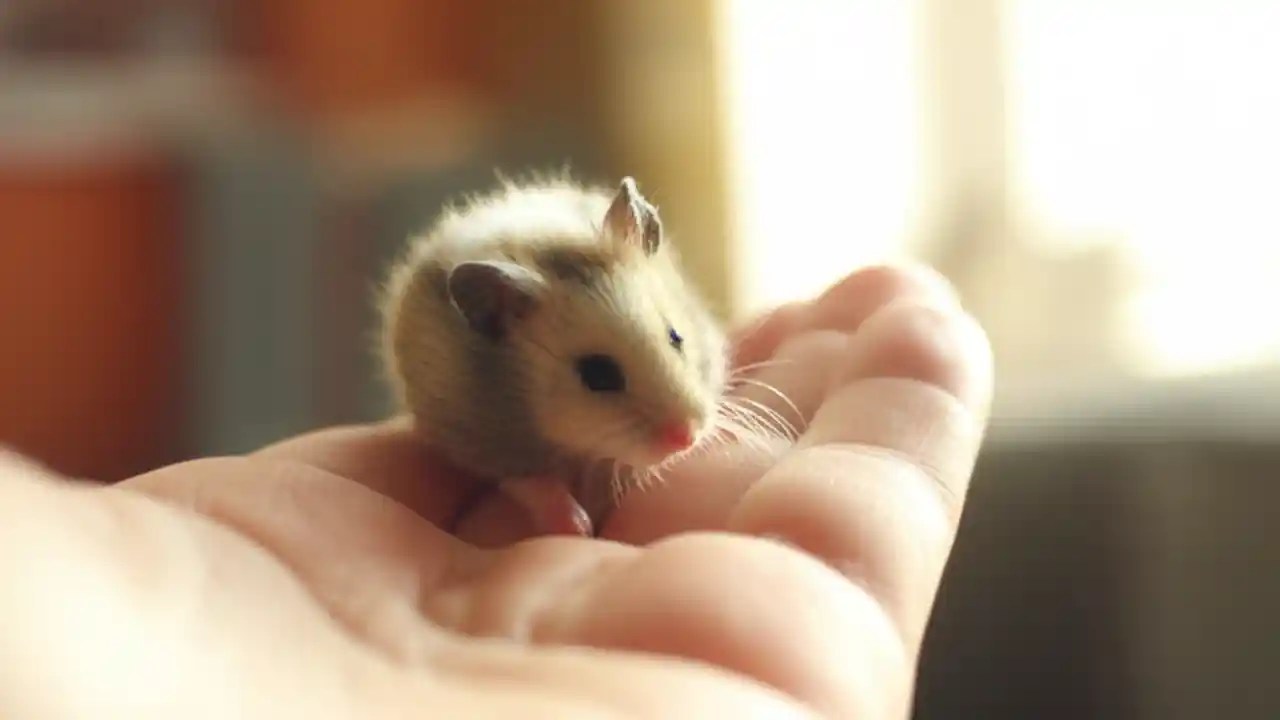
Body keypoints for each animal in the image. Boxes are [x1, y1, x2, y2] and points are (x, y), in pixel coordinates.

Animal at [377, 174, 730, 536]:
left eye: (676, 337)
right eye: (597, 375)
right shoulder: (483, 442)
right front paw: (577, 526)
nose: (687, 437)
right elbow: (529, 483)